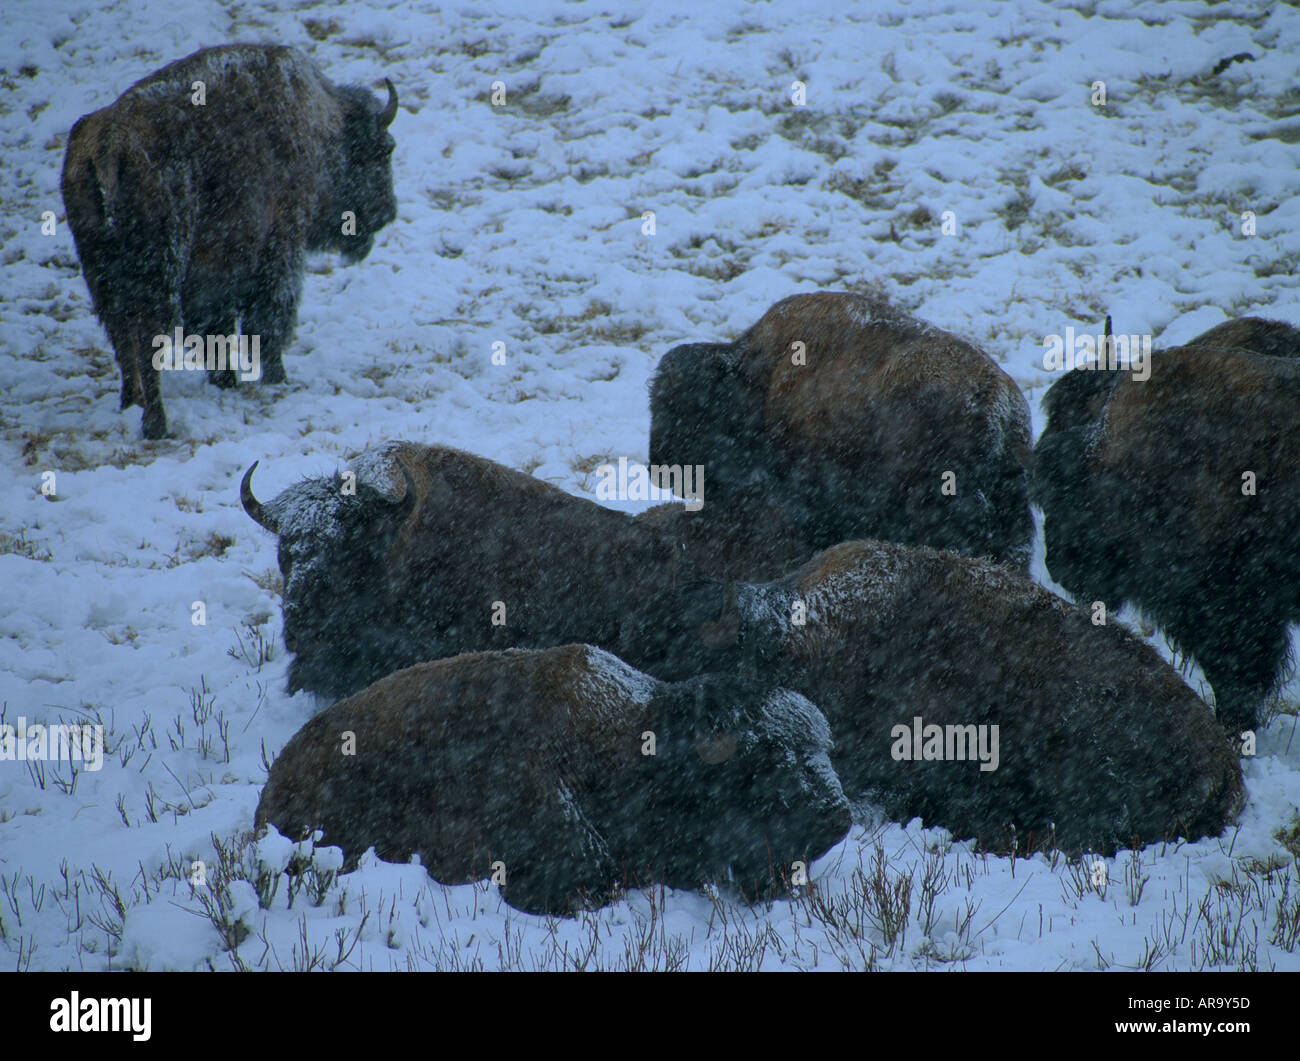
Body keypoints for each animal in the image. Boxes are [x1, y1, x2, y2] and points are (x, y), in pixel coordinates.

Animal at [62, 44, 399, 439]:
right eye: (384, 150)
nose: (388, 212)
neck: (321, 126)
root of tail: (108, 144)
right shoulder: (279, 246)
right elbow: (267, 318)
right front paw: (274, 376)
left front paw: (227, 379)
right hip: (159, 271)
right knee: (146, 339)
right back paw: (156, 422)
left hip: (102, 275)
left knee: (121, 336)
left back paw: (131, 403)